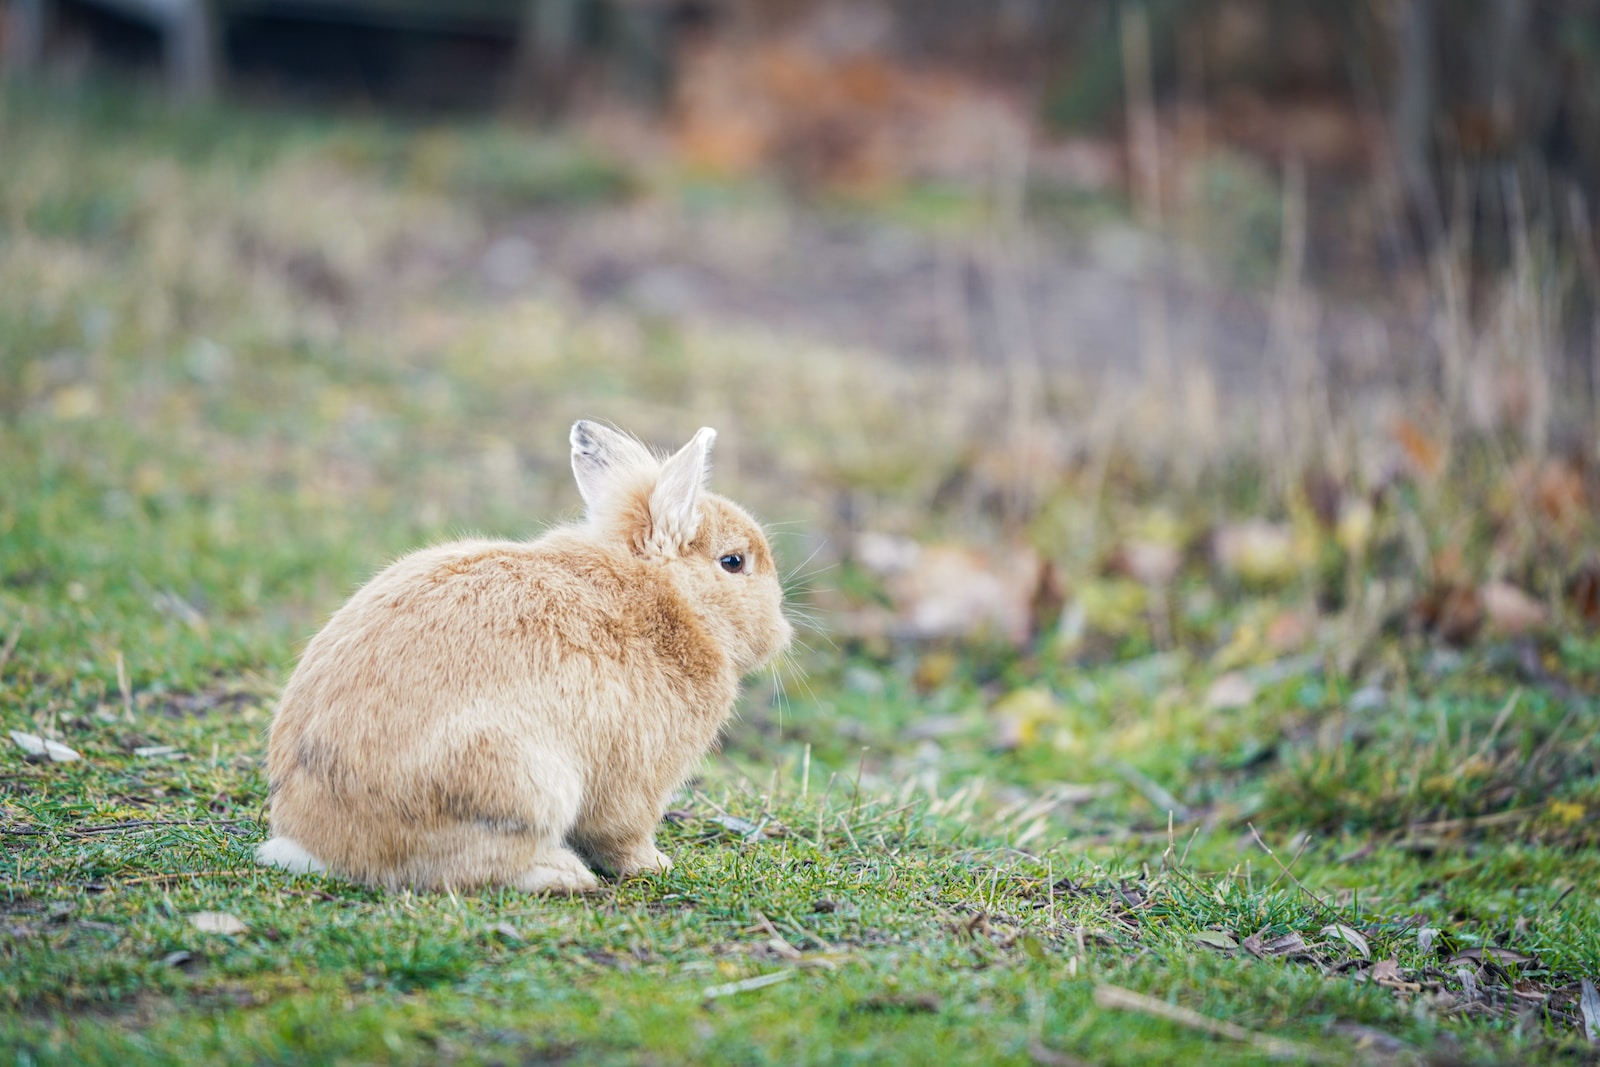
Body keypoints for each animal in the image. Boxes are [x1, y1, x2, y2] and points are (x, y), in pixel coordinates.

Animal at [255, 420, 793, 893]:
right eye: (733, 562)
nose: (780, 632)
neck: (667, 595)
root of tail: (322, 845)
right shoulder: (637, 782)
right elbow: (624, 836)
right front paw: (656, 865)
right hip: (520, 785)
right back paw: (562, 875)